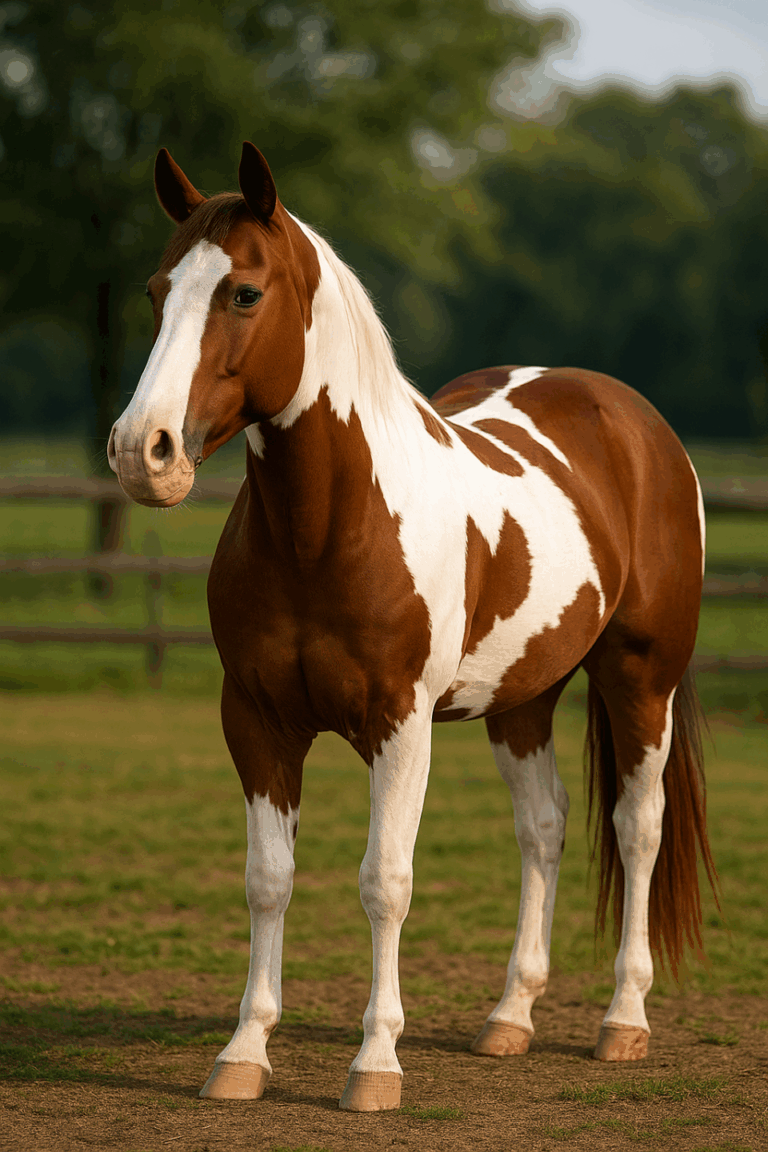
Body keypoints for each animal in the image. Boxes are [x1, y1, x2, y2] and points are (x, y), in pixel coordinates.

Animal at [108, 142, 718, 1112]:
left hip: (639, 680)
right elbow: (268, 881)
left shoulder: (400, 724)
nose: (144, 451)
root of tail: (633, 421)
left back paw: (624, 1020)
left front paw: (376, 1064)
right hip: (524, 698)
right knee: (544, 826)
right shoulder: (256, 721)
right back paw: (510, 1017)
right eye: (156, 289)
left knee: (638, 827)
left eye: (243, 292)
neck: (327, 527)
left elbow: (384, 883)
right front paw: (244, 1053)